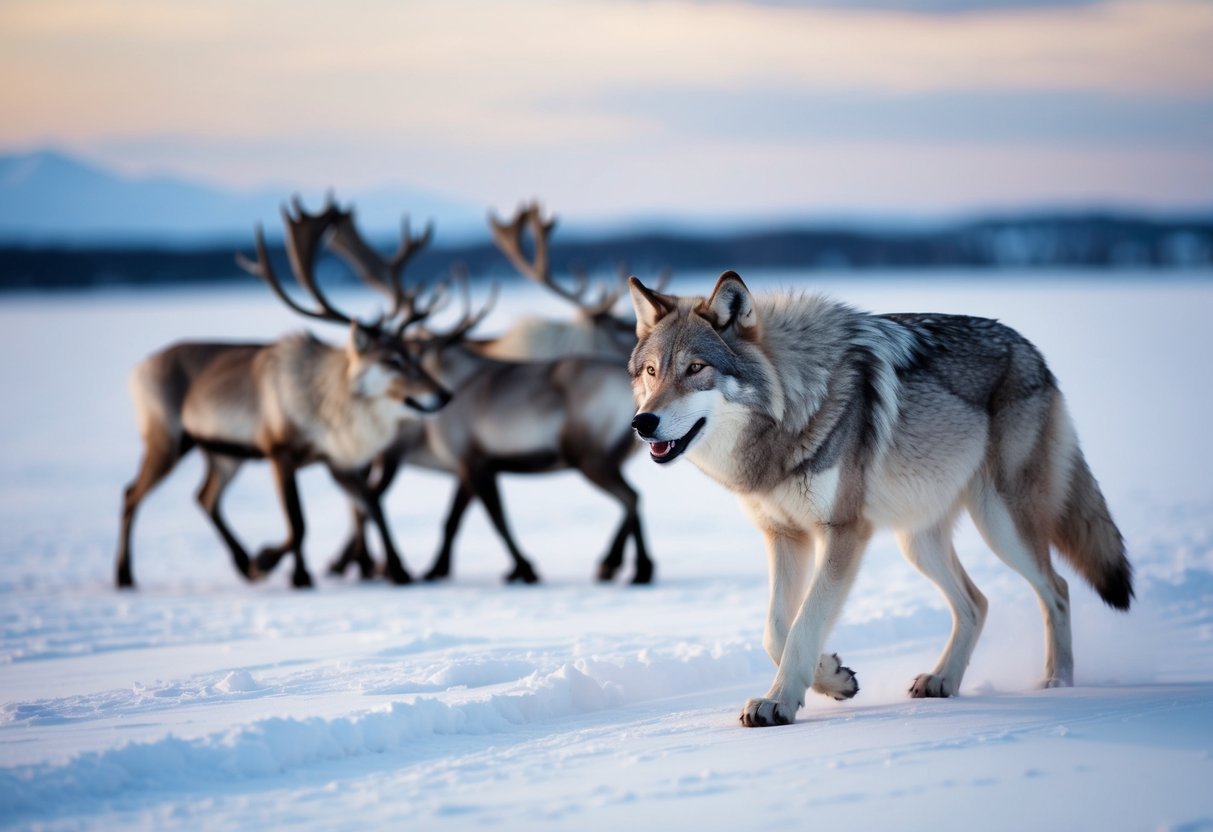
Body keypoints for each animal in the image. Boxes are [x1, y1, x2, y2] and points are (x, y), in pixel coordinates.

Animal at [627, 271, 1132, 727]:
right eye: (652, 371)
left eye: (696, 369)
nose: (642, 422)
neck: (791, 410)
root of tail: (1033, 352)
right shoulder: (785, 536)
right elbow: (776, 629)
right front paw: (830, 676)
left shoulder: (844, 532)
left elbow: (804, 622)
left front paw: (778, 703)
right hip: (919, 542)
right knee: (978, 602)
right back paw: (943, 679)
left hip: (1001, 525)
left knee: (1058, 590)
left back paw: (1057, 683)